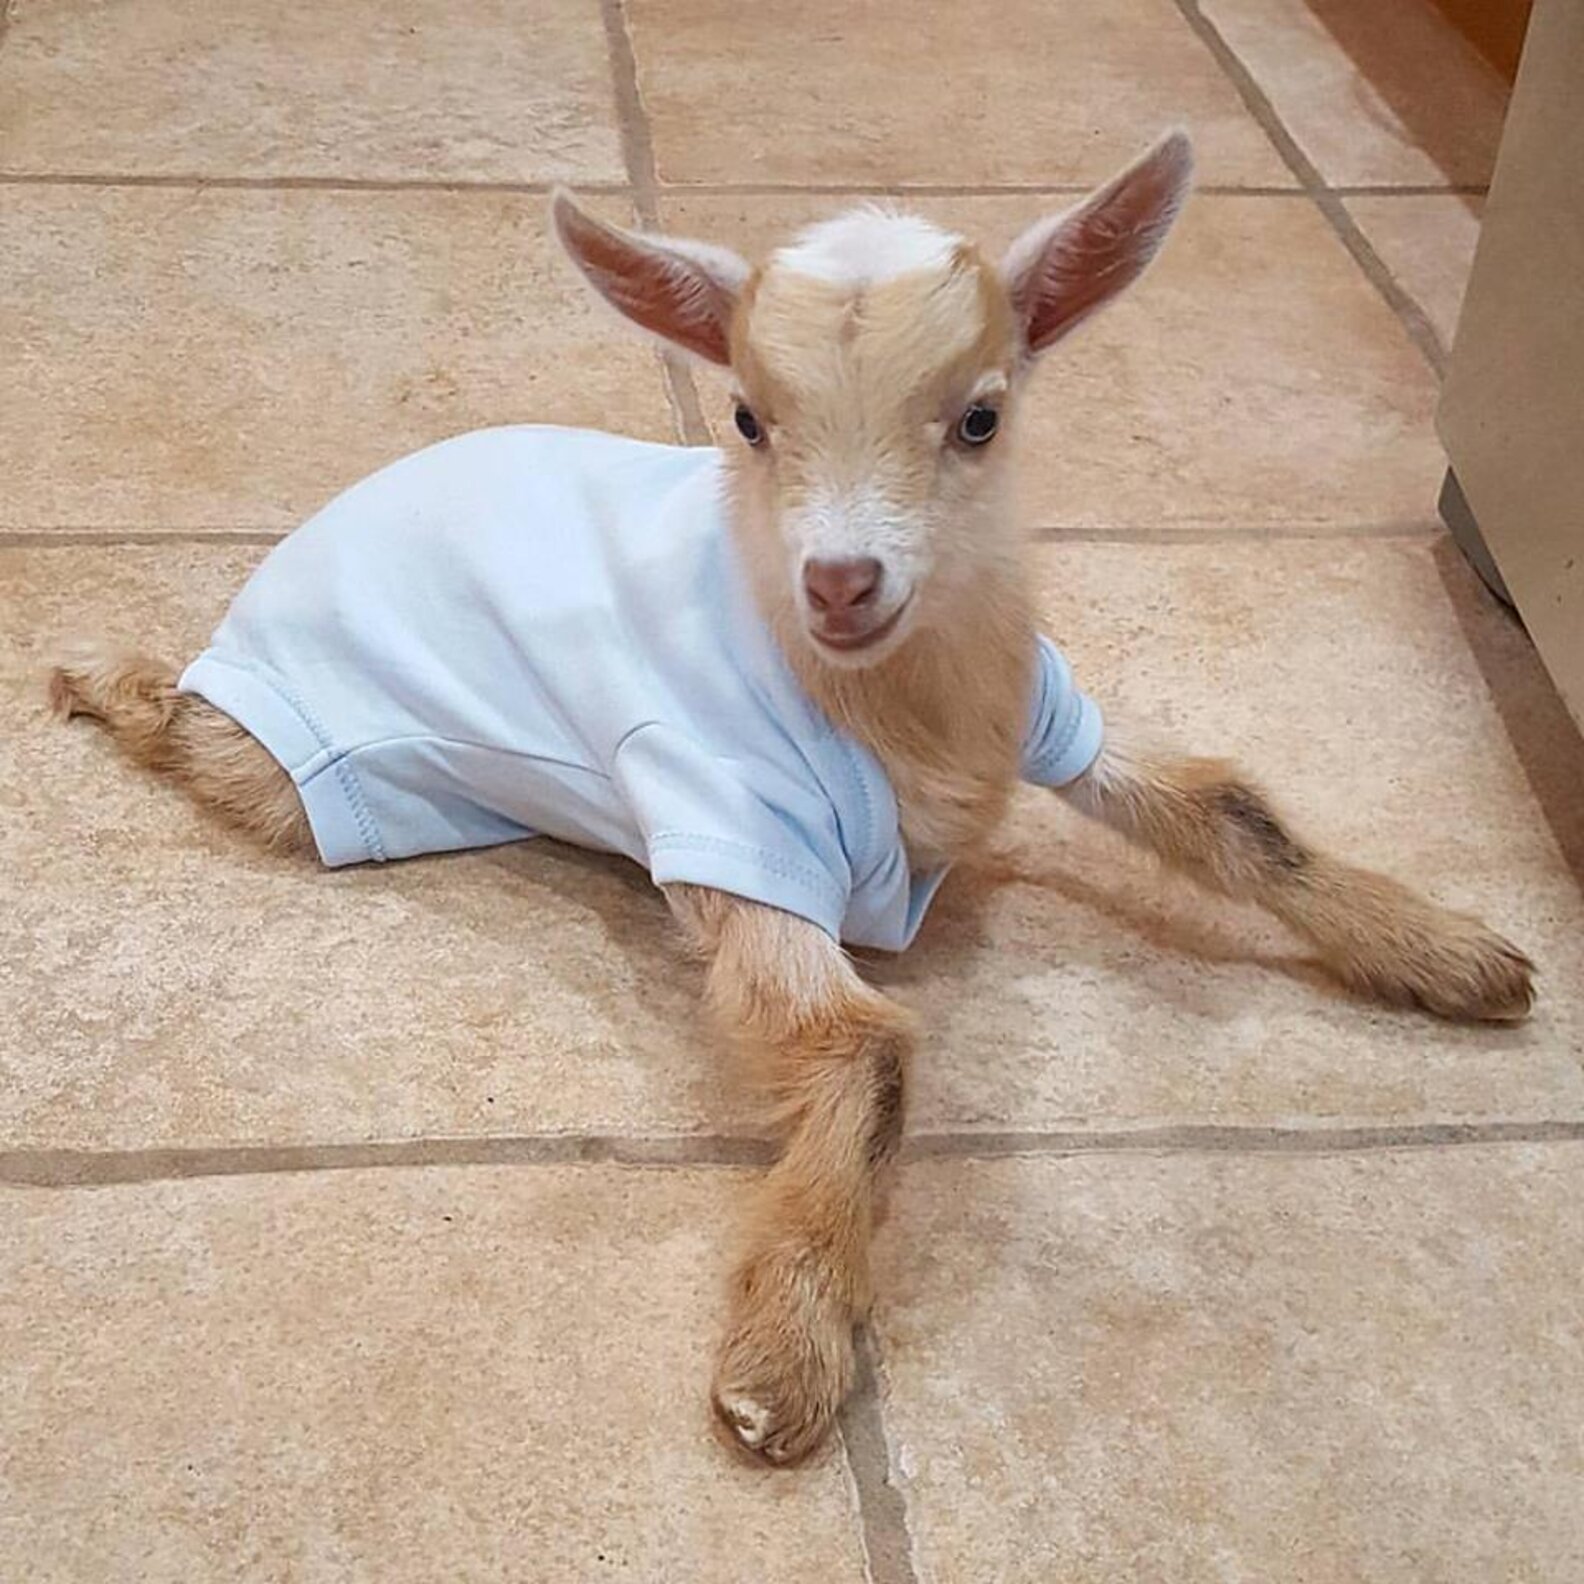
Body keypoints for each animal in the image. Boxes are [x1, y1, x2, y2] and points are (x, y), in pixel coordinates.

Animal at [50, 132, 1534, 1466]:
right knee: (203, 739)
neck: (895, 715)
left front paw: (1457, 957)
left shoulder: (1047, 714)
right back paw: (104, 682)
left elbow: (1232, 816)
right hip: (300, 772)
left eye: (982, 415)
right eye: (750, 420)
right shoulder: (738, 833)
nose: (841, 583)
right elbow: (866, 1054)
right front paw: (786, 1360)